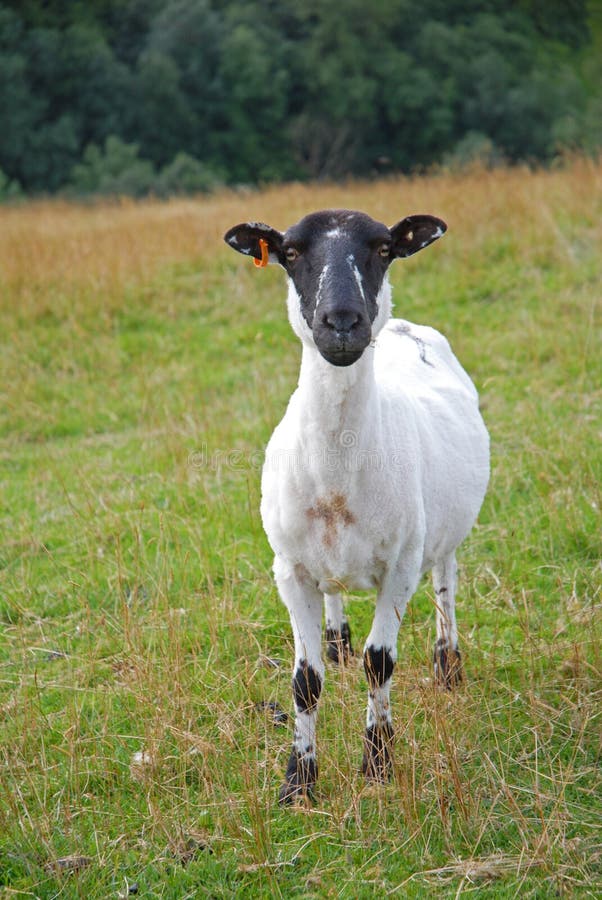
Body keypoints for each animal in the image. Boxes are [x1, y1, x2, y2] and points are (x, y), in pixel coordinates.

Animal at [224, 209, 490, 805]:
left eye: (384, 249)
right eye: (290, 253)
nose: (343, 321)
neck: (338, 475)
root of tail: (403, 327)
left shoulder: (400, 568)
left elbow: (380, 664)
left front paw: (377, 764)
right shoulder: (289, 569)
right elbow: (305, 682)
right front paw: (298, 782)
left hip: (441, 535)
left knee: (446, 581)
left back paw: (448, 664)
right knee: (337, 599)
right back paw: (337, 640)